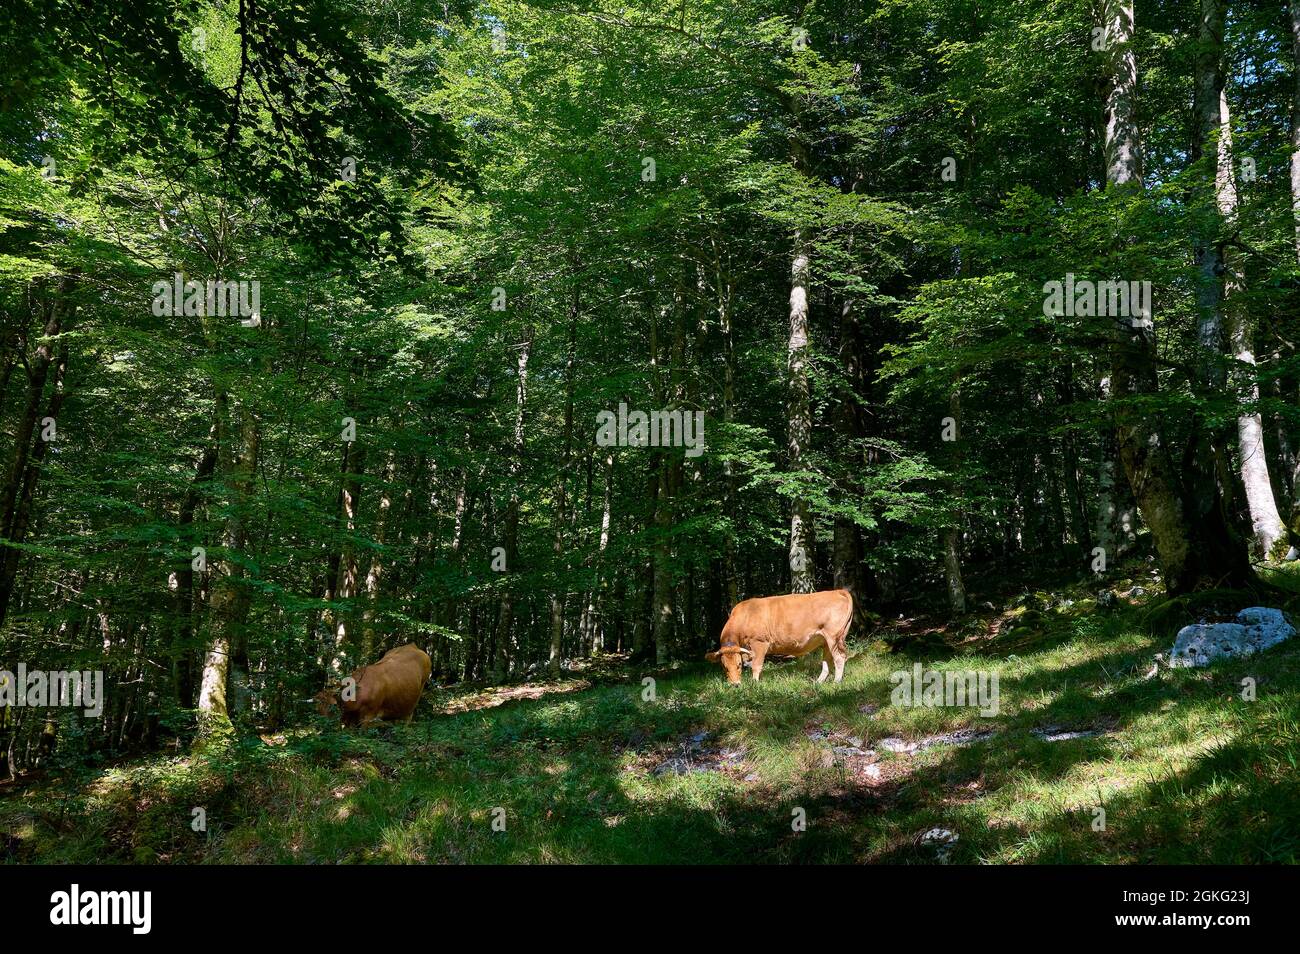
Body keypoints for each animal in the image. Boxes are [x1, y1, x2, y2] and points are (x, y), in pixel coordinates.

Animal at [705, 589, 853, 685]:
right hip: (826, 641)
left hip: (833, 637)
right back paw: (818, 682)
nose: (735, 685)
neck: (745, 616)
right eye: (724, 667)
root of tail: (837, 591)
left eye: (739, 664)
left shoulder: (759, 643)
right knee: (827, 662)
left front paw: (754, 684)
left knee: (839, 658)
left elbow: (756, 665)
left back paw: (836, 682)